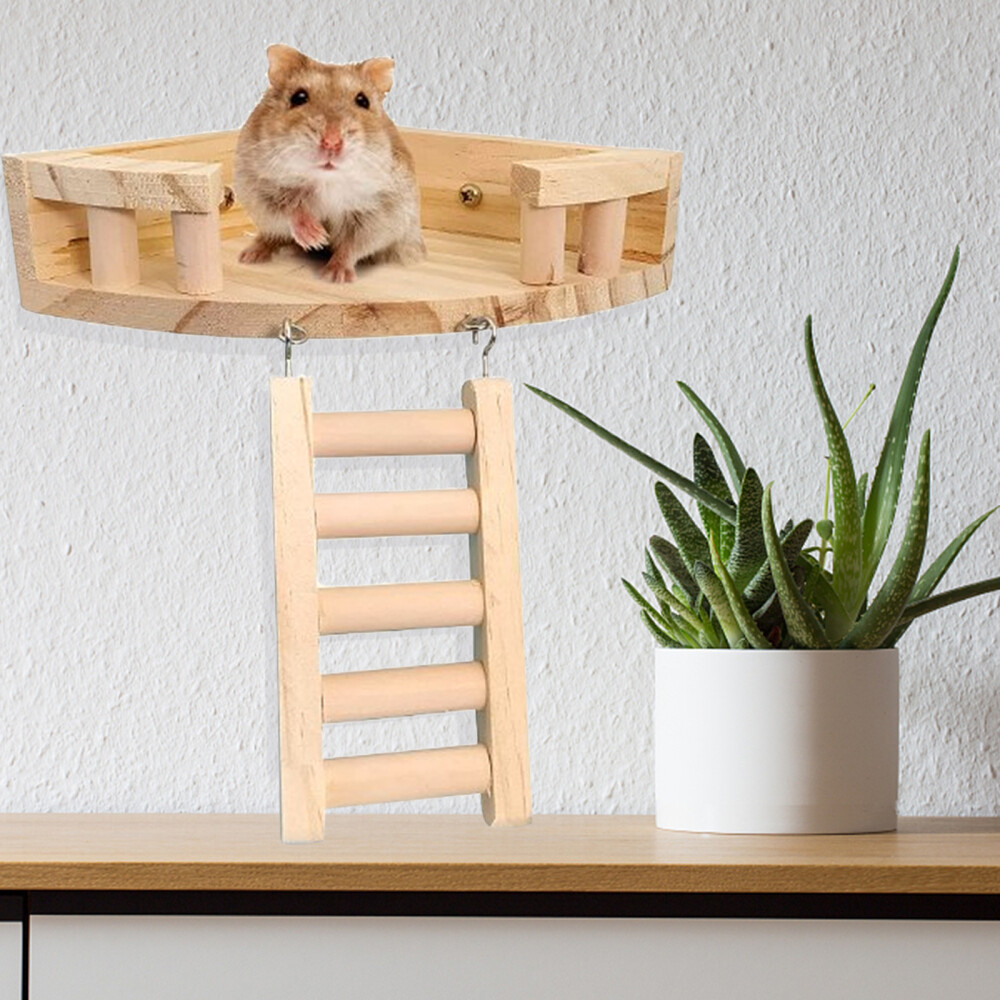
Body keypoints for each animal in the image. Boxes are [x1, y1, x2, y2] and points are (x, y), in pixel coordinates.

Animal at [234, 45, 425, 283]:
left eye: (363, 101)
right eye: (298, 97)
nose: (331, 142)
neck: (326, 178)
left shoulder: (382, 211)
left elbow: (353, 245)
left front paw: (334, 275)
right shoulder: (260, 186)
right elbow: (290, 210)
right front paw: (317, 238)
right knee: (272, 235)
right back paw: (250, 255)